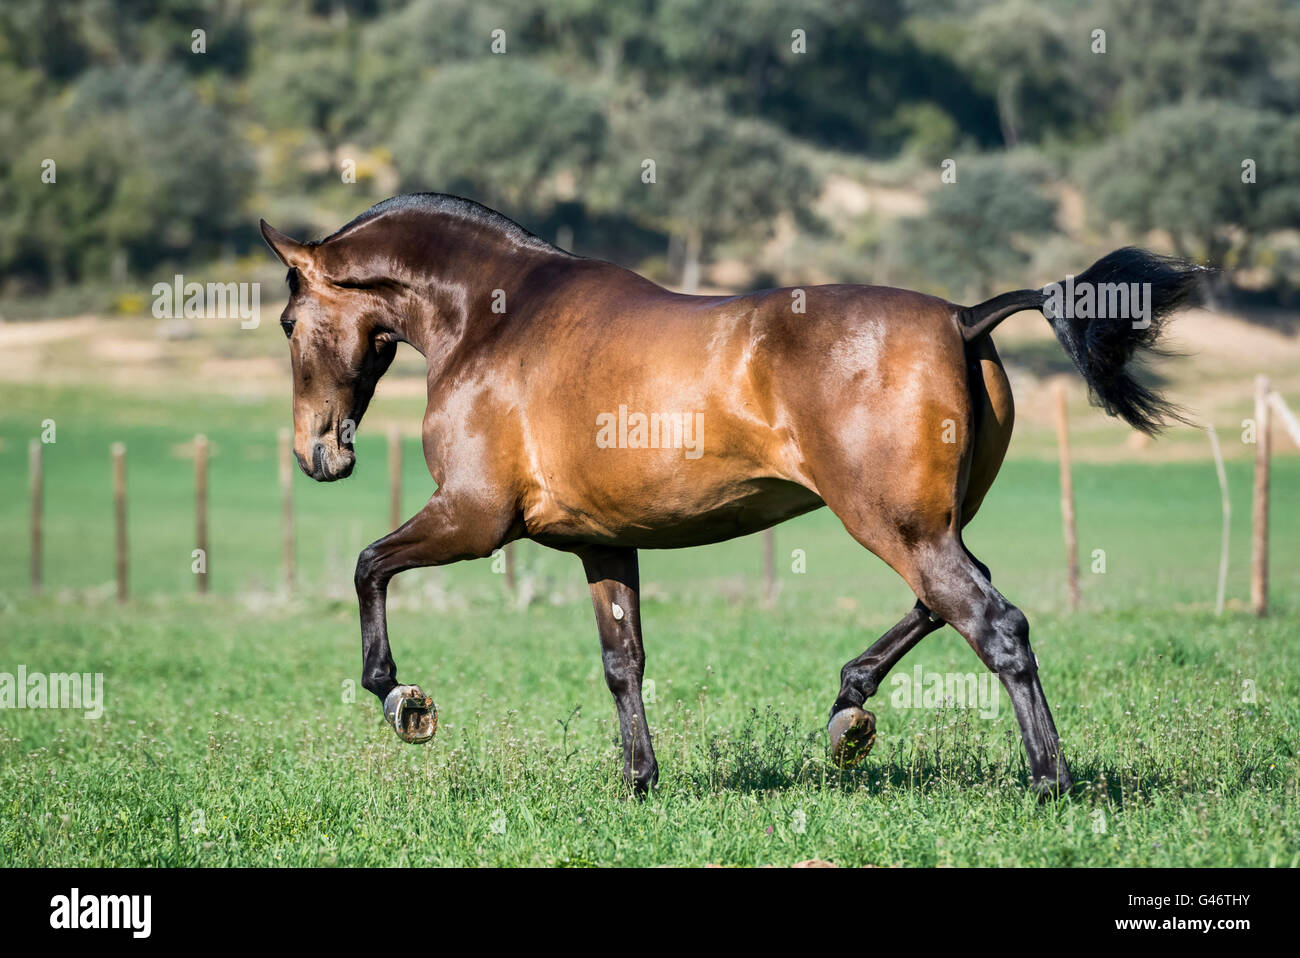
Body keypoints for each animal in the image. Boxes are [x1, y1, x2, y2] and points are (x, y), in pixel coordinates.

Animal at [260, 192, 1206, 797]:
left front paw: (401, 700)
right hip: (928, 524)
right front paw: (639, 782)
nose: (318, 454)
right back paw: (849, 711)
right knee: (943, 607)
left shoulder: (473, 519)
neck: (494, 321)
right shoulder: (603, 542)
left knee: (993, 624)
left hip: (895, 525)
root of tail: (961, 317)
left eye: (288, 322)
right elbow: (623, 661)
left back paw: (1047, 783)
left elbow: (368, 566)